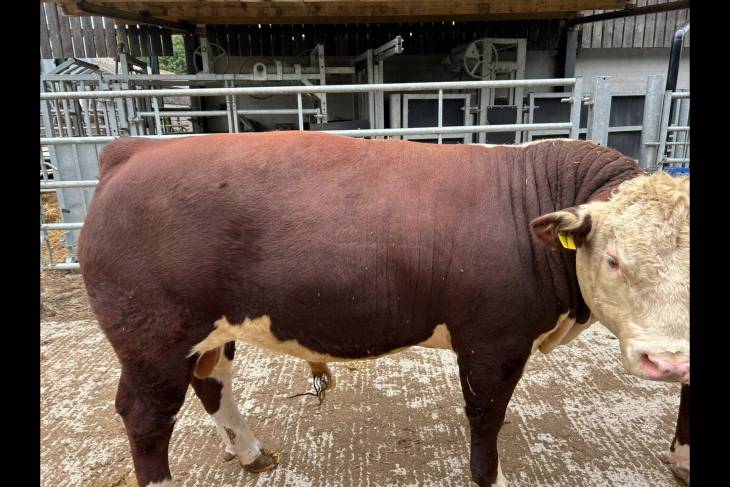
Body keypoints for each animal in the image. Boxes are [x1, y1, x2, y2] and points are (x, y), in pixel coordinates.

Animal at [77, 132, 689, 487]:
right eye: (612, 258)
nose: (670, 362)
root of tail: (133, 150)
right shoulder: (493, 339)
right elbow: (486, 418)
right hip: (152, 335)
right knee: (146, 416)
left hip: (204, 329)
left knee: (212, 381)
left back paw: (250, 452)